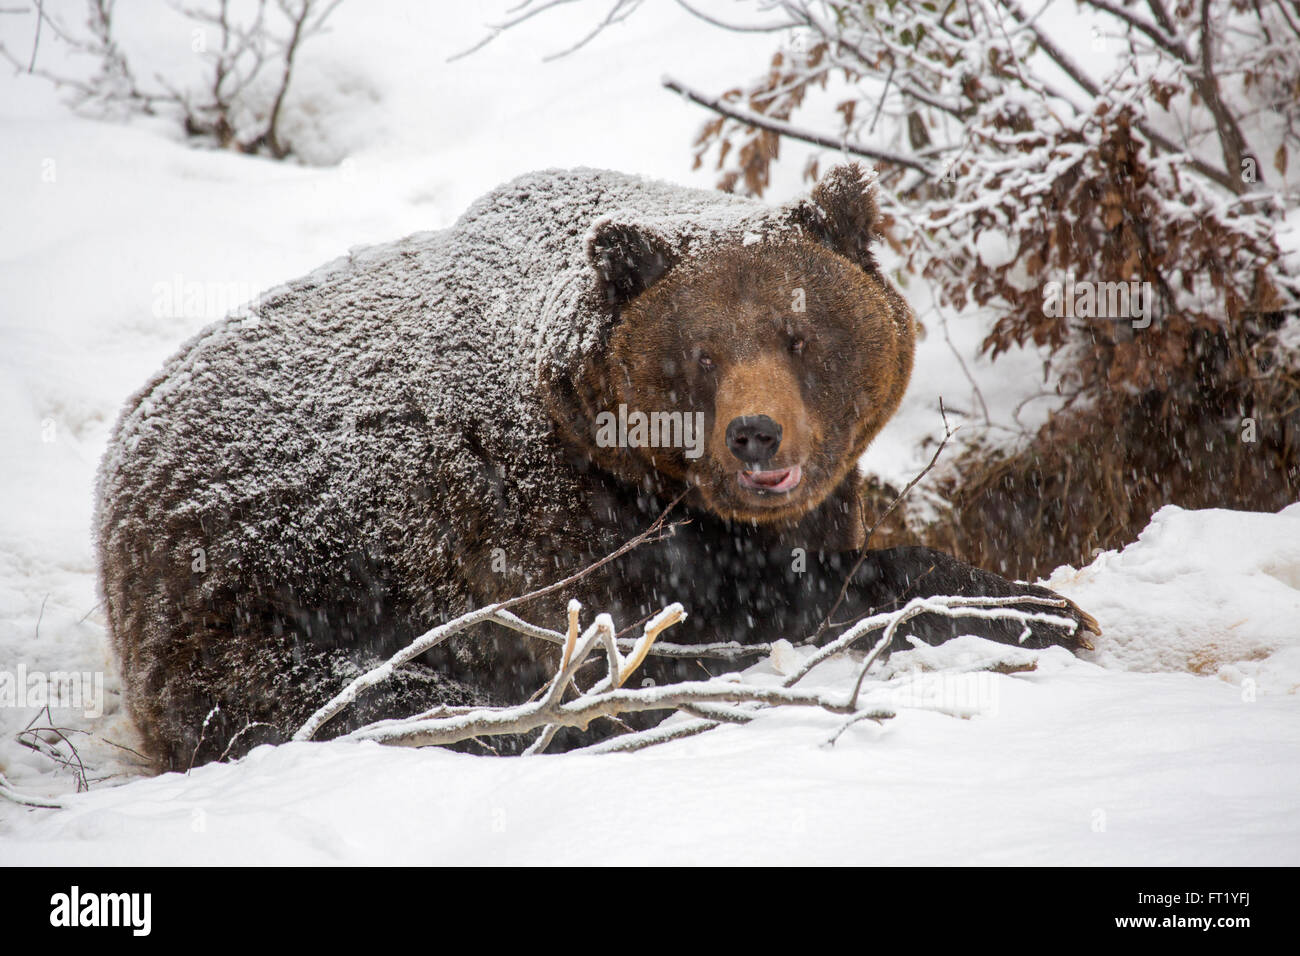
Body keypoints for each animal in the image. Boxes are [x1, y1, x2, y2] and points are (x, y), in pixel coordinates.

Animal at [95, 164, 1098, 769]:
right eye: (700, 354)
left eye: (801, 333)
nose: (757, 435)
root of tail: (120, 449)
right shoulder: (543, 525)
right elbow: (672, 630)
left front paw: (1042, 605)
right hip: (256, 587)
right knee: (362, 699)